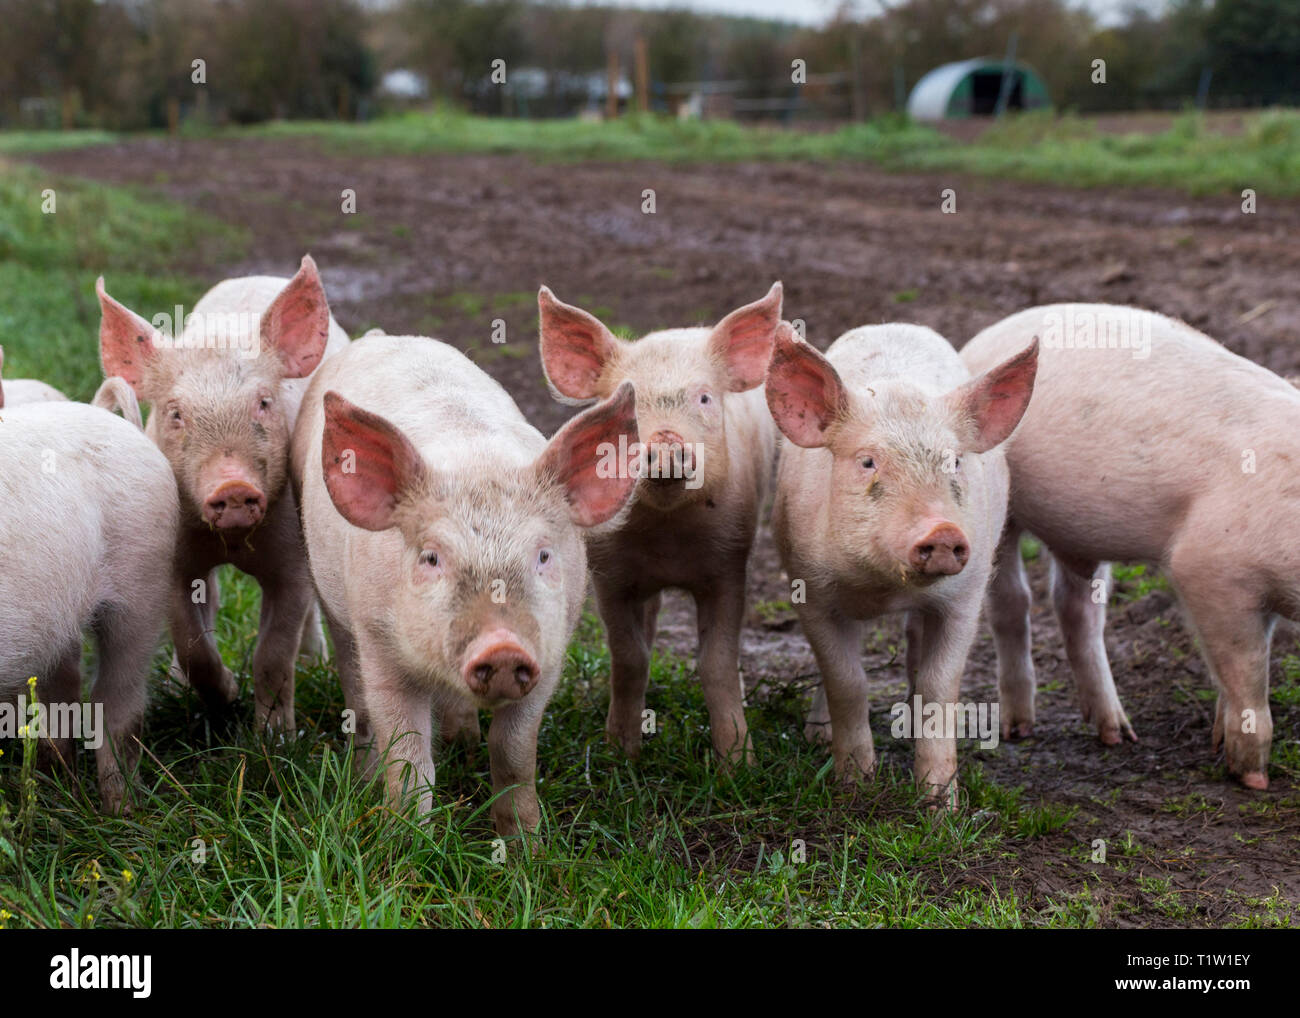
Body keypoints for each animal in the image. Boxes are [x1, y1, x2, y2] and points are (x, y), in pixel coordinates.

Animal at [96, 255, 349, 731]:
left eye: (264, 403)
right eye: (175, 413)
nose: (233, 485)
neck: (231, 546)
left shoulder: (291, 561)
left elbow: (274, 653)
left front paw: (276, 736)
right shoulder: (175, 560)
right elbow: (192, 643)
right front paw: (227, 694)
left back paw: (316, 663)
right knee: (210, 601)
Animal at [290, 334, 639, 835]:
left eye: (543, 555)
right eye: (431, 557)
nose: (503, 647)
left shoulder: (551, 653)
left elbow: (514, 752)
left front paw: (525, 844)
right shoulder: (378, 640)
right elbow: (408, 757)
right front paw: (405, 841)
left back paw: (463, 743)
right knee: (352, 684)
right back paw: (364, 775)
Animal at [537, 284, 782, 767]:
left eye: (704, 398)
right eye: (627, 404)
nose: (666, 444)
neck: (666, 541)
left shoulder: (730, 566)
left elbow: (716, 662)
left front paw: (738, 765)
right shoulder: (610, 575)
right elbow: (630, 658)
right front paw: (620, 755)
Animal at [766, 322, 1038, 796]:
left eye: (956, 461)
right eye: (868, 462)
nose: (942, 532)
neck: (886, 589)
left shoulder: (965, 598)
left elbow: (939, 686)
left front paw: (939, 803)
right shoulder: (810, 591)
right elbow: (847, 679)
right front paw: (854, 787)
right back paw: (817, 736)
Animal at [963, 303, 1297, 790]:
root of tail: (981, 338)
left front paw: (1217, 740)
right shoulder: (1209, 567)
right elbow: (1247, 671)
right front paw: (1253, 779)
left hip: (1081, 532)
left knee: (1075, 607)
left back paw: (1118, 735)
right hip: (1002, 512)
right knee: (1011, 602)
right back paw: (1018, 729)